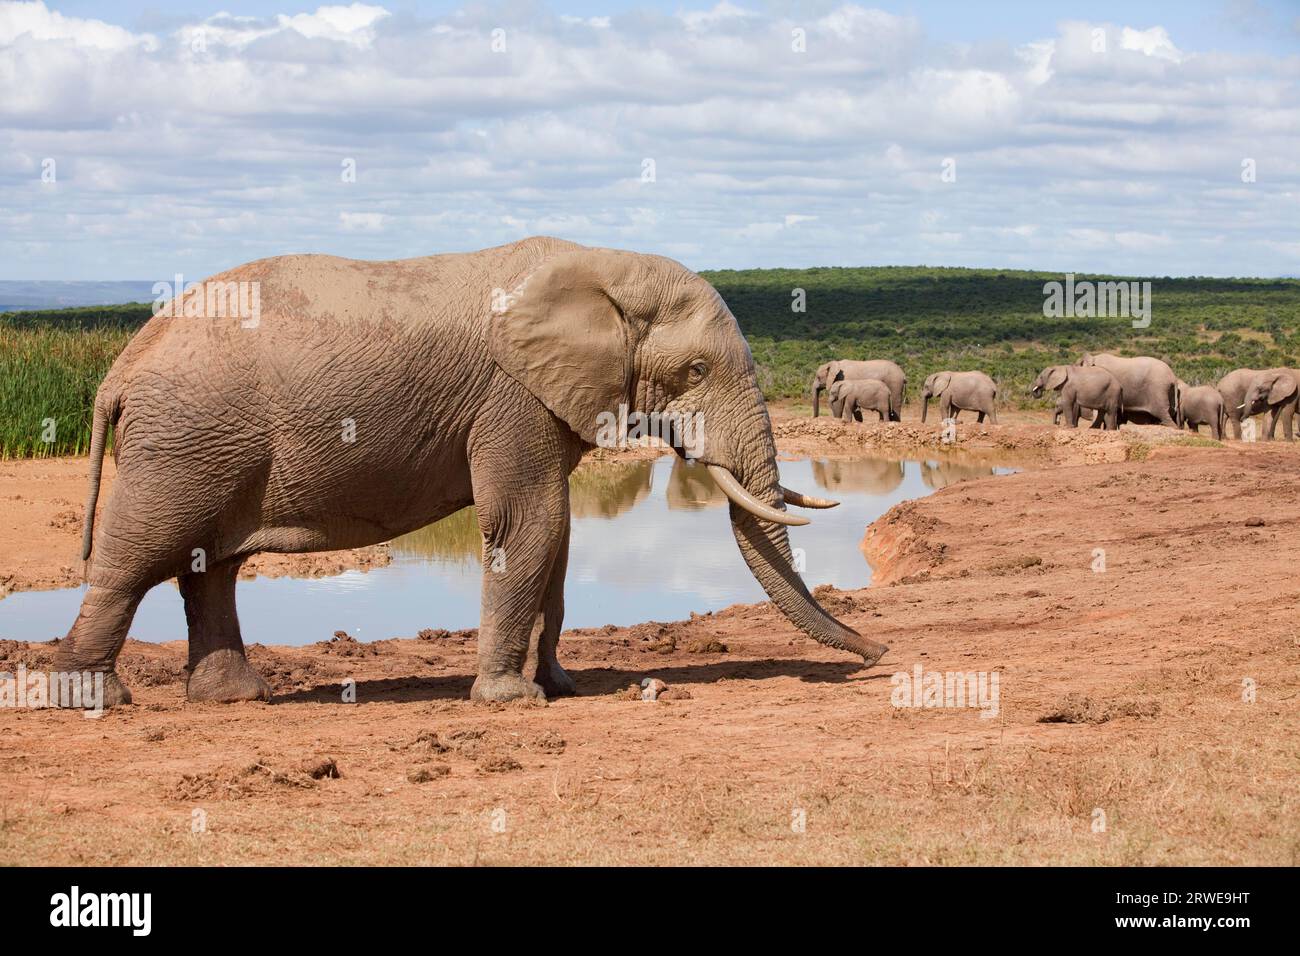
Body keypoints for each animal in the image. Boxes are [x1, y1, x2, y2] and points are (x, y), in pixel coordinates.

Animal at [57, 238, 885, 708]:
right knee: (138, 558)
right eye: (697, 371)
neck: (605, 270)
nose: (880, 655)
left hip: (204, 441)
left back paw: (235, 701)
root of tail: (118, 367)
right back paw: (94, 699)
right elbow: (532, 523)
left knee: (209, 567)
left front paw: (559, 688)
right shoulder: (512, 395)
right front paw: (511, 702)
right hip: (185, 441)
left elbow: (557, 535)